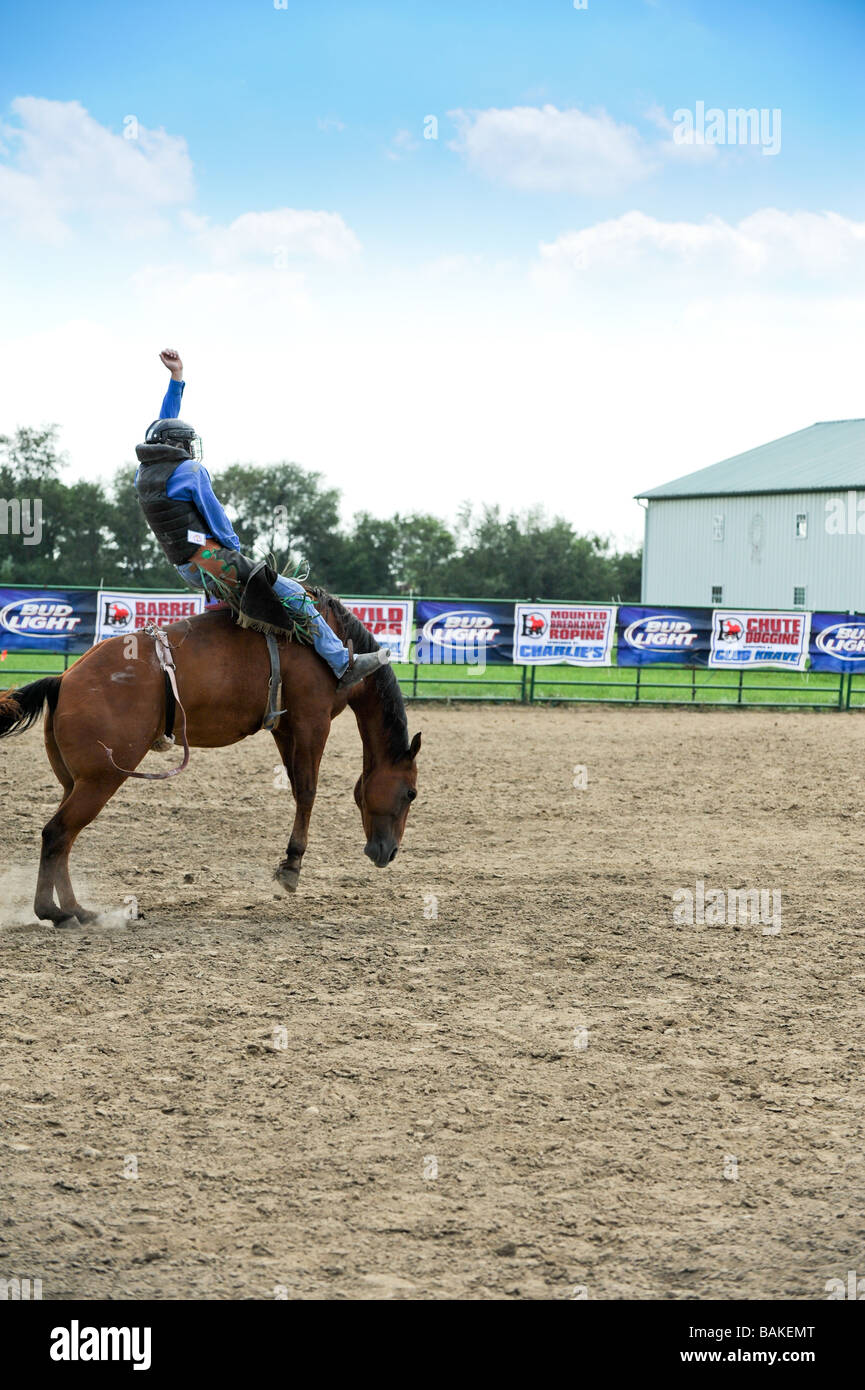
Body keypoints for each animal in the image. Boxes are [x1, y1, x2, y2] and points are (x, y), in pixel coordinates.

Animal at [0, 589, 421, 927]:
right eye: (411, 794)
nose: (388, 853)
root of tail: (64, 679)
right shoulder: (310, 721)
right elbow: (307, 790)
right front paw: (291, 867)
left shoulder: (284, 727)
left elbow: (297, 786)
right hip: (101, 779)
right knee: (57, 833)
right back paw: (57, 912)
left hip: (75, 781)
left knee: (62, 840)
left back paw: (76, 910)